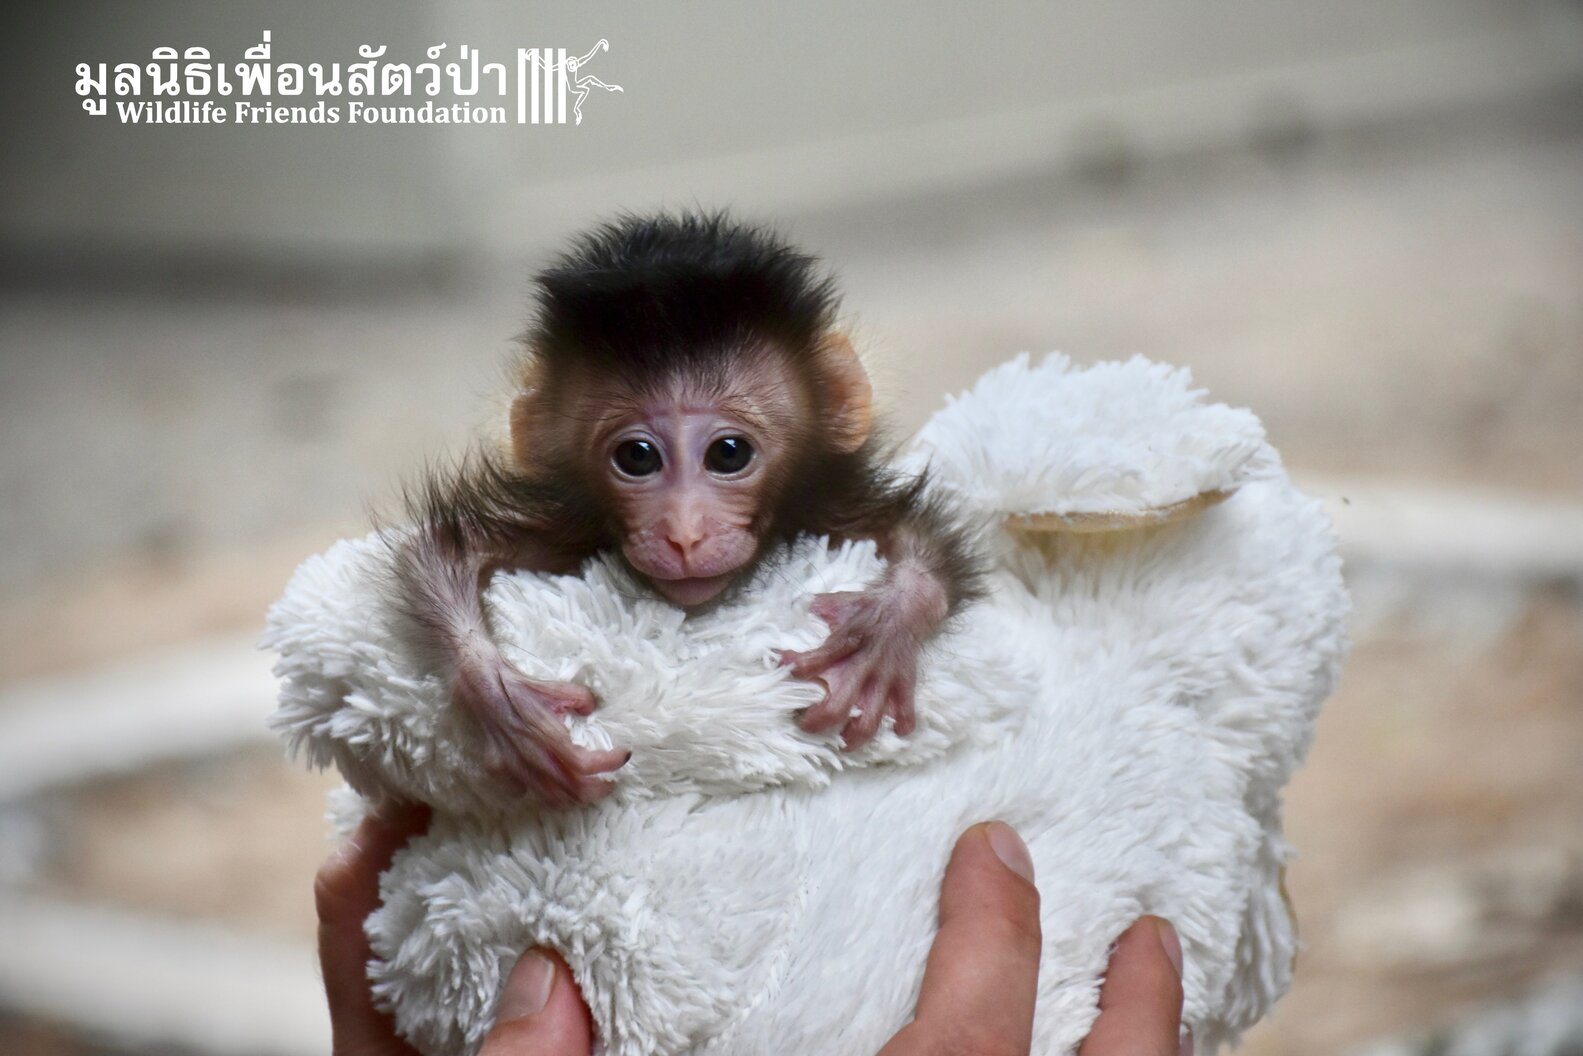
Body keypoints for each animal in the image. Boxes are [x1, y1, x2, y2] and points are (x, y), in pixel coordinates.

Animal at [389, 212, 980, 808]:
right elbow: (441, 552)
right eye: (637, 457)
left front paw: (879, 636)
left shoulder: (829, 506)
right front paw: (507, 704)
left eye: (729, 453)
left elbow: (920, 540)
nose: (685, 533)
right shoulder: (566, 529)